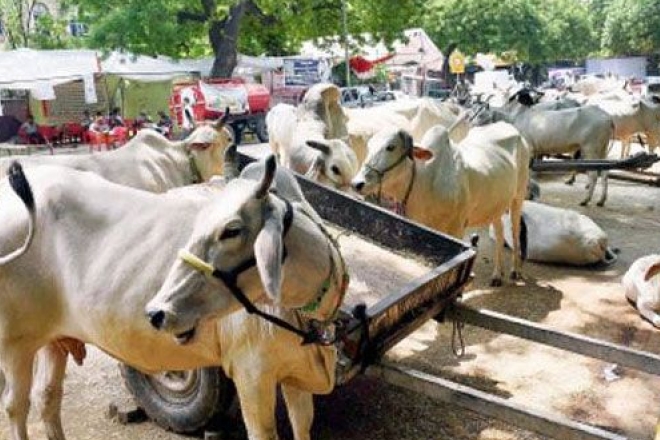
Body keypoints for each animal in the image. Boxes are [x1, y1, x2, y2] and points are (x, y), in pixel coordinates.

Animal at [0, 157, 346, 440]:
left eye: (231, 230)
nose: (156, 312)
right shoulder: (252, 375)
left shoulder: (295, 377)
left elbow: (302, 426)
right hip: (15, 345)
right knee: (16, 407)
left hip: (51, 339)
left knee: (47, 397)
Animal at [351, 121, 530, 286]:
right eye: (369, 146)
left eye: (391, 147)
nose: (357, 183)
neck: (423, 182)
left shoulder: (457, 228)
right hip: (495, 206)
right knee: (499, 233)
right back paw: (497, 275)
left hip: (518, 196)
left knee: (515, 231)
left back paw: (515, 271)